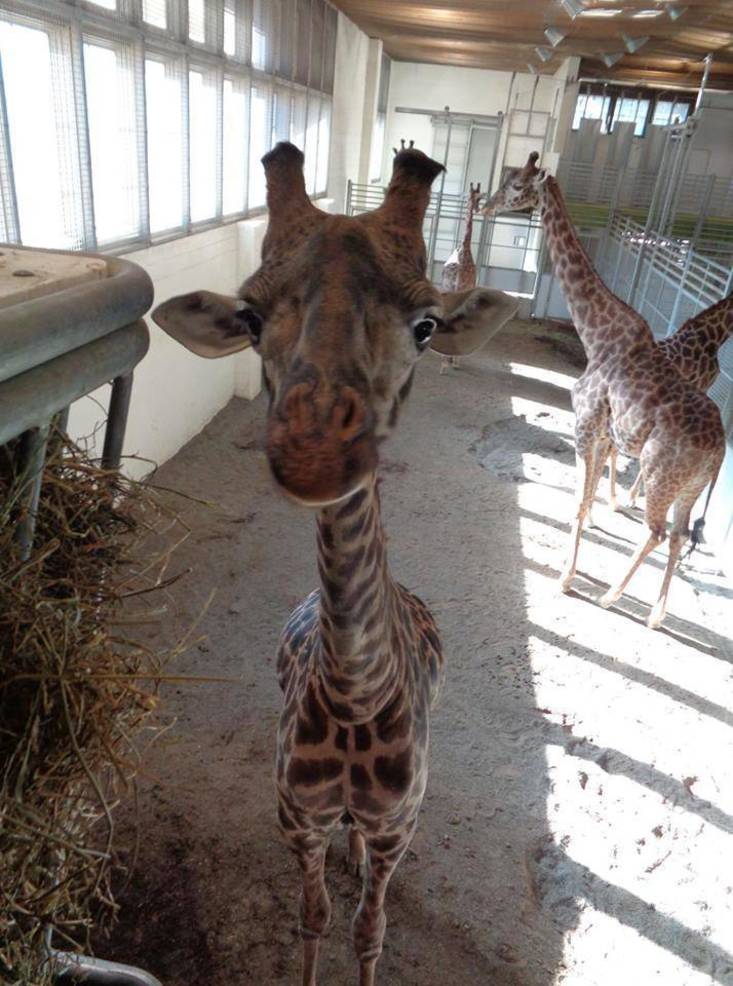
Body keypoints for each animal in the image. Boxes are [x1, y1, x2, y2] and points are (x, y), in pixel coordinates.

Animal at [152, 142, 511, 985]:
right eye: (250, 317)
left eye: (426, 325)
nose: (315, 453)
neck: (353, 694)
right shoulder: (296, 819)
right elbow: (313, 920)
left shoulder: (396, 828)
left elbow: (368, 930)